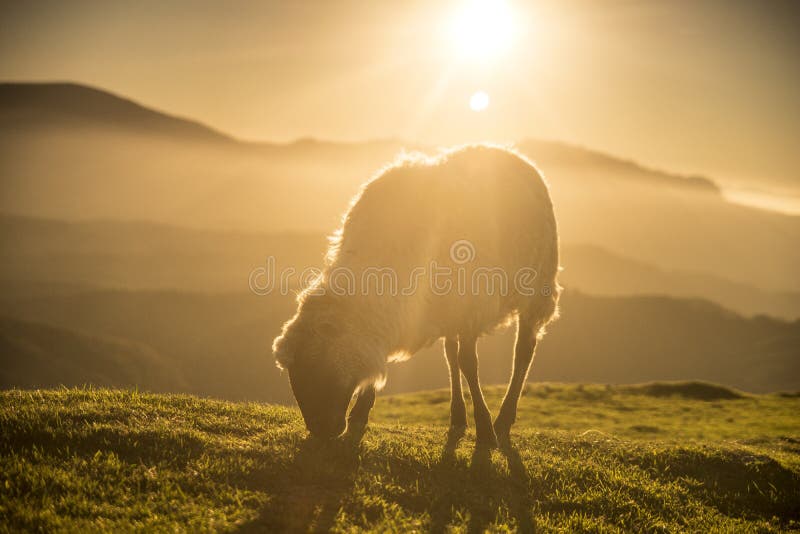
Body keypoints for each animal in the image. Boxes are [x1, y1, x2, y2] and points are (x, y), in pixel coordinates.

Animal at [273, 144, 560, 447]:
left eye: (316, 364)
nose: (321, 430)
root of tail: (504, 149)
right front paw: (361, 411)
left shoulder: (469, 305)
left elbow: (470, 364)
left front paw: (485, 429)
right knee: (451, 354)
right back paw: (458, 415)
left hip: (537, 284)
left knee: (523, 351)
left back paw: (503, 419)